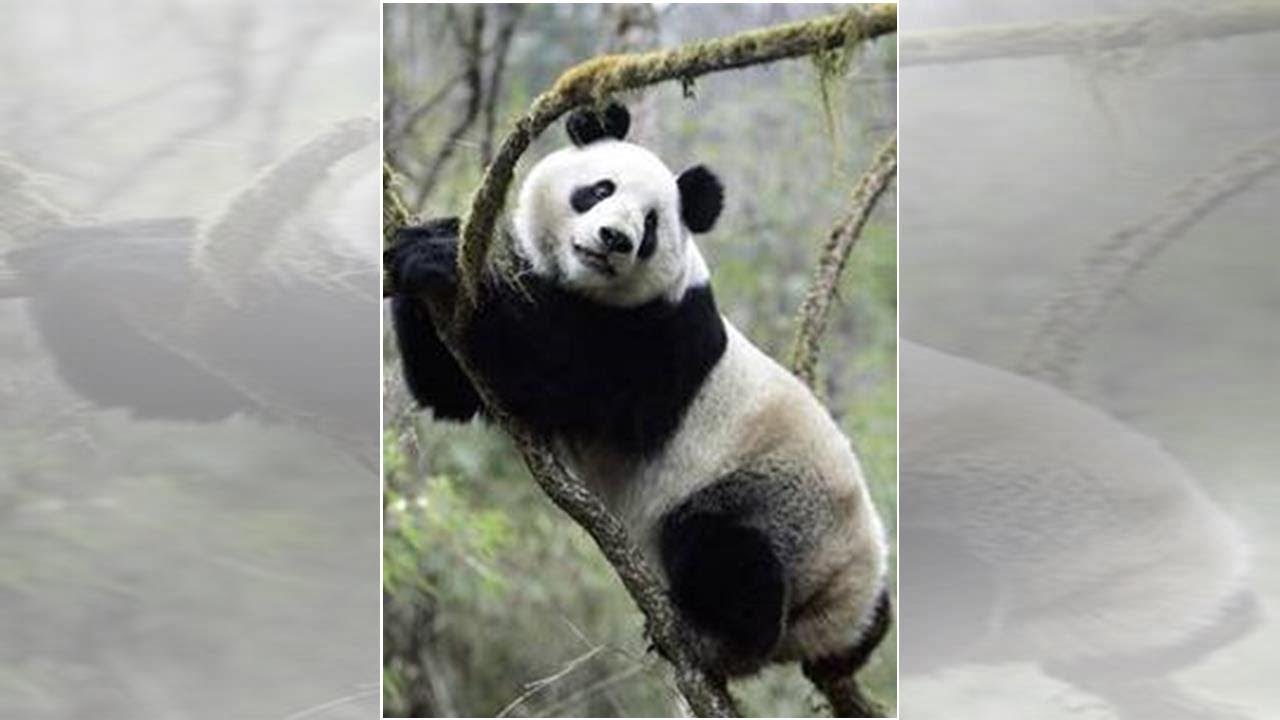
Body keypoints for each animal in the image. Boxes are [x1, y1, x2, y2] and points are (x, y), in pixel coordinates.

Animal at [386, 103, 889, 682]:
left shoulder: (661, 339)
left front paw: (445, 260)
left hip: (774, 502)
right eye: (600, 189)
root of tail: (846, 603)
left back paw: (715, 639)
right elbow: (452, 389)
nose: (614, 239)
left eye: (650, 225)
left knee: (724, 551)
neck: (588, 291)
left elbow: (557, 378)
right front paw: (425, 246)